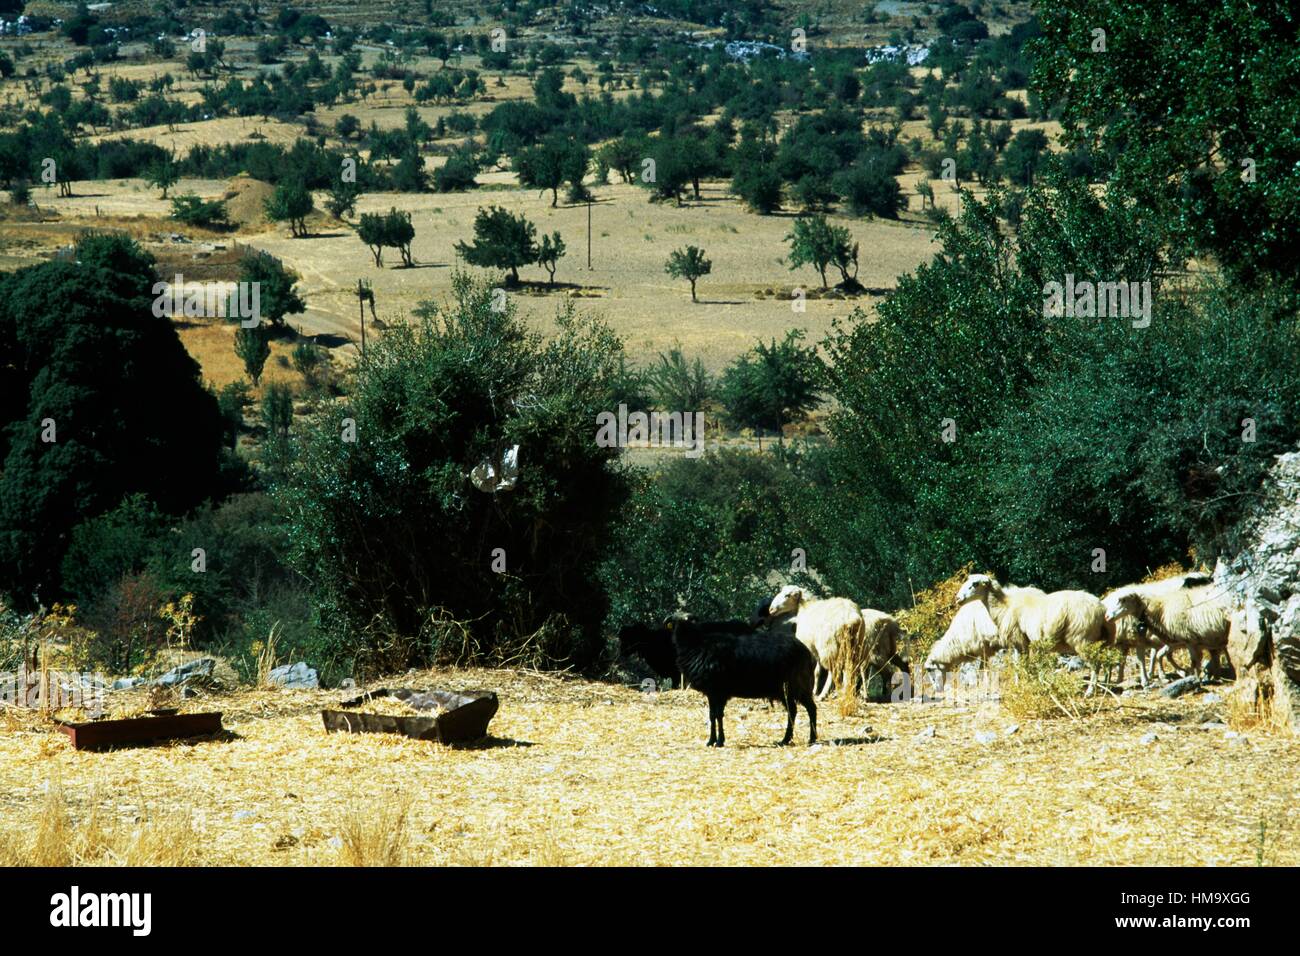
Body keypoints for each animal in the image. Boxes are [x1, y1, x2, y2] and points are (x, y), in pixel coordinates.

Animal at [670, 618, 817, 747]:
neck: (696, 645)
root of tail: (805, 650)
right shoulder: (711, 693)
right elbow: (712, 716)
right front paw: (711, 741)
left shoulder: (719, 692)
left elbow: (718, 715)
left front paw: (719, 741)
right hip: (785, 690)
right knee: (793, 710)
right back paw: (785, 740)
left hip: (797, 684)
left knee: (811, 708)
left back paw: (811, 739)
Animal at [954, 573, 1109, 693]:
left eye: (975, 584)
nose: (958, 599)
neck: (1004, 606)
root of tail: (1100, 608)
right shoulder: (1025, 642)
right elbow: (1024, 662)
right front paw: (1027, 682)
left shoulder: (1018, 639)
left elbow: (1018, 664)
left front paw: (1019, 684)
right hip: (1100, 641)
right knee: (1106, 663)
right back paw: (1106, 686)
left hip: (1082, 639)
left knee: (1096, 664)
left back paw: (1090, 691)